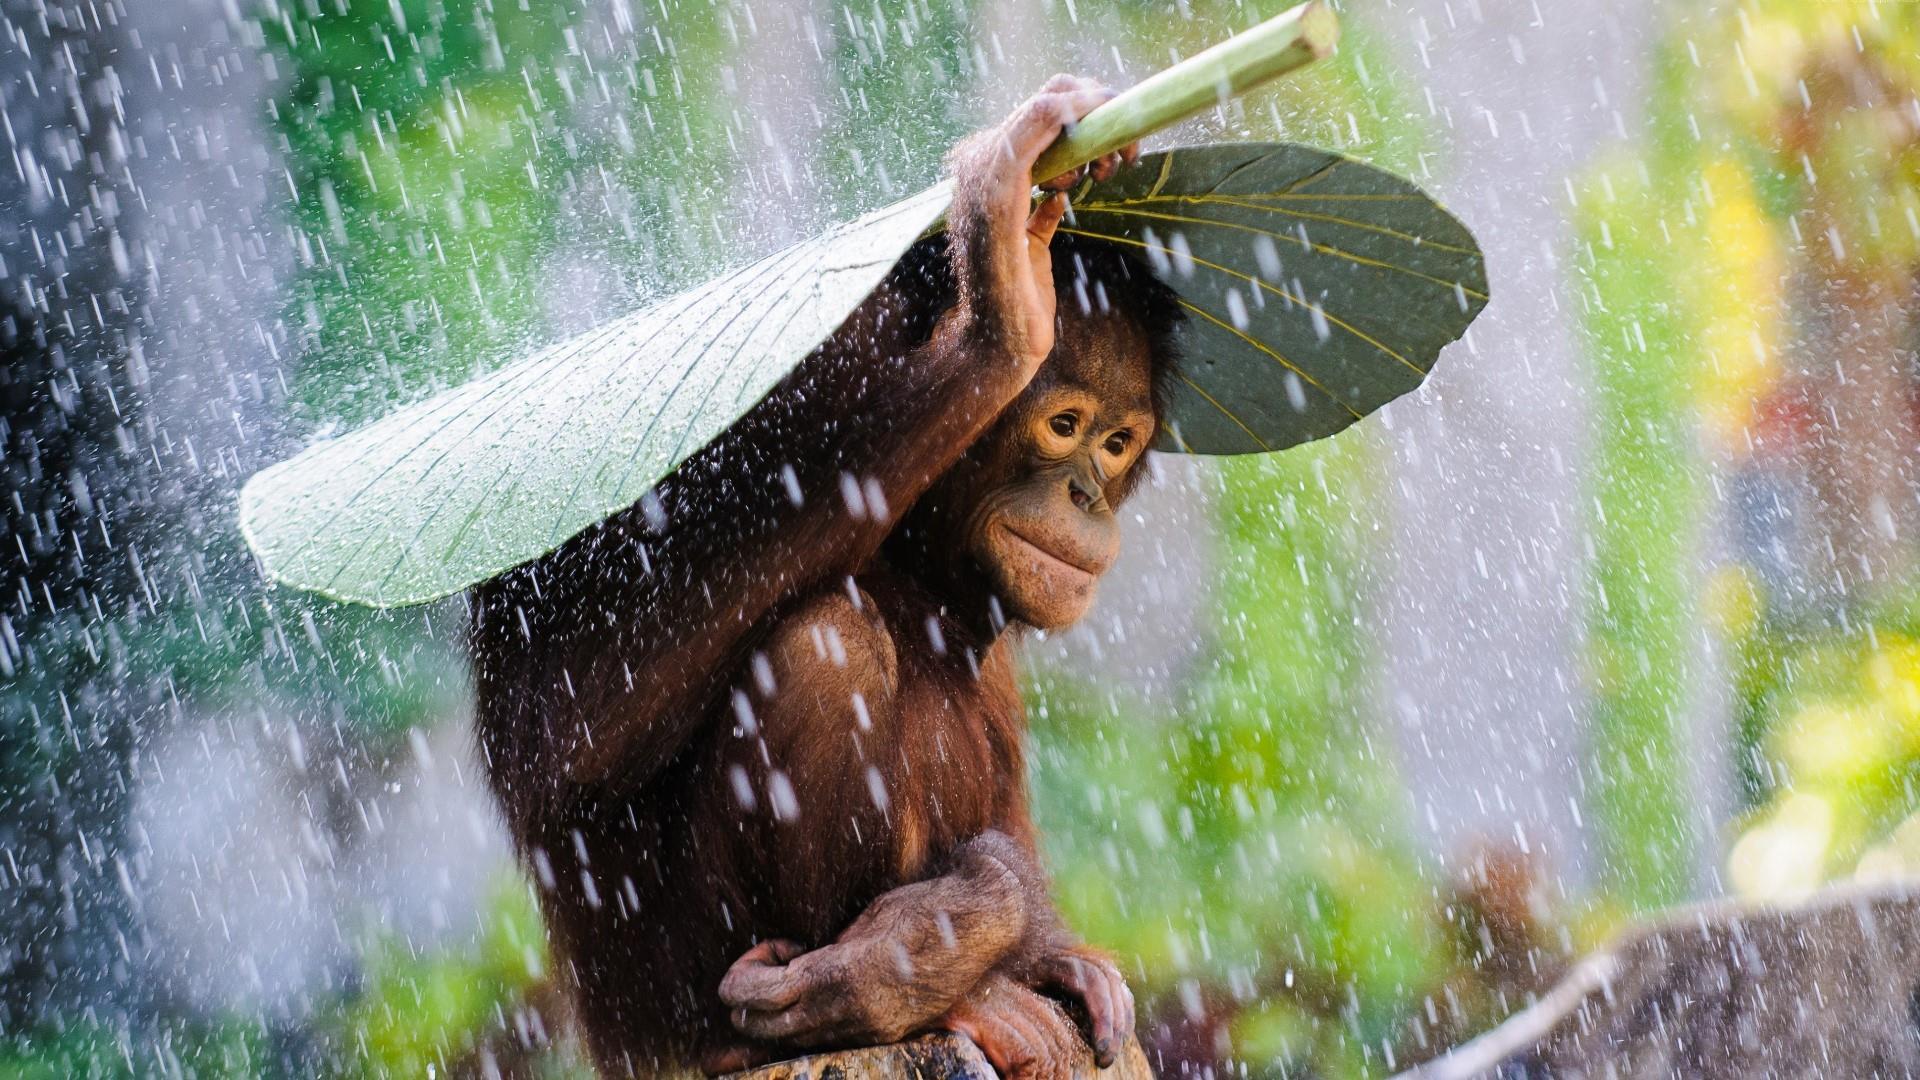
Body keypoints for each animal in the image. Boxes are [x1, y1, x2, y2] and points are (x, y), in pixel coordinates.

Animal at [470, 75, 1184, 1080]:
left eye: (1119, 441)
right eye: (1063, 424)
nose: (1087, 491)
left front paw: (1036, 946)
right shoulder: (772, 384)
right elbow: (559, 727)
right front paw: (1001, 299)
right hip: (684, 1005)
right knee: (822, 641)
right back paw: (909, 992)